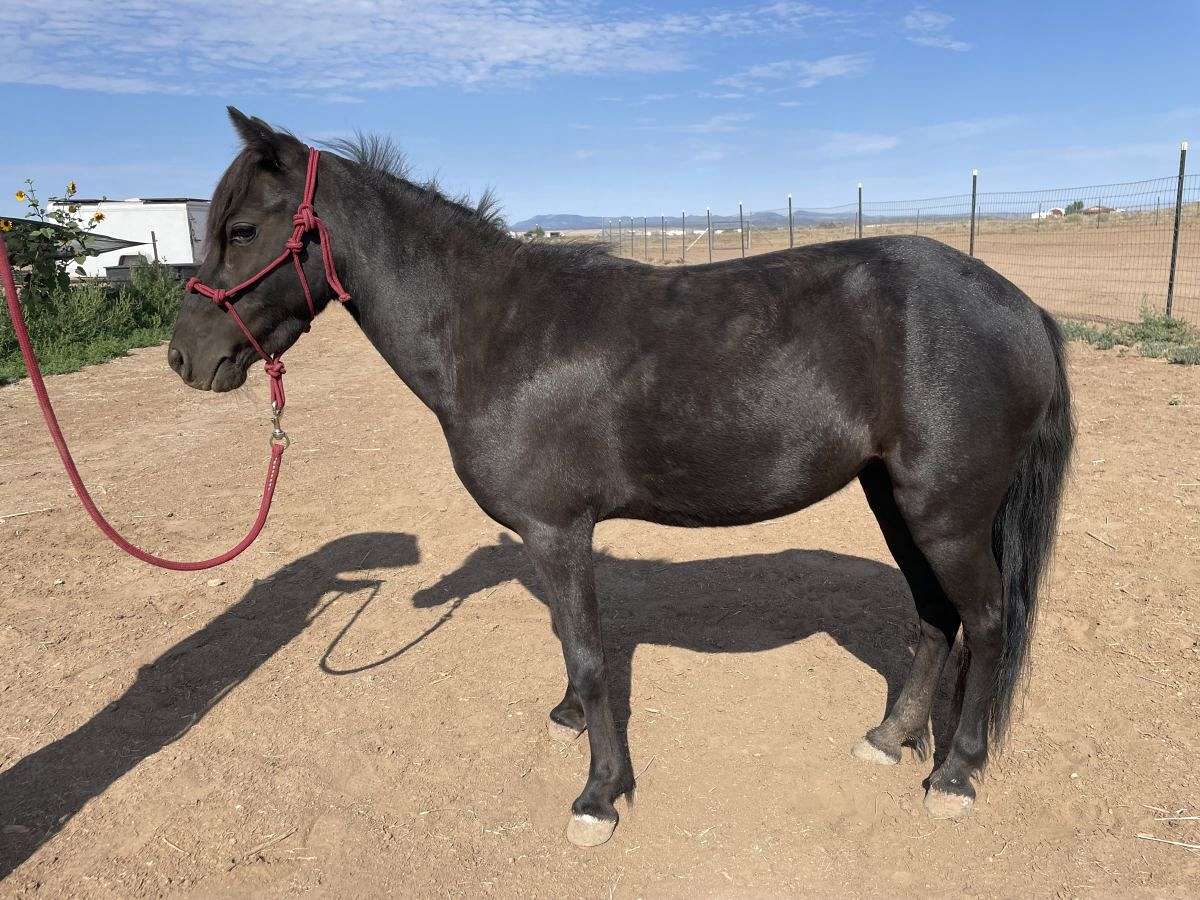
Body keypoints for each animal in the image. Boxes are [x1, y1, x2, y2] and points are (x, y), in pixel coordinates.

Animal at [168, 108, 1074, 847]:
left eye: (242, 230)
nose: (186, 359)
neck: (491, 328)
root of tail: (1020, 307)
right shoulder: (555, 538)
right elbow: (574, 651)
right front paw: (571, 719)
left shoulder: (558, 529)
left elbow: (591, 652)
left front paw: (599, 796)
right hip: (896, 499)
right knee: (934, 617)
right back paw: (891, 738)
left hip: (947, 512)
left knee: (986, 620)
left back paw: (952, 776)